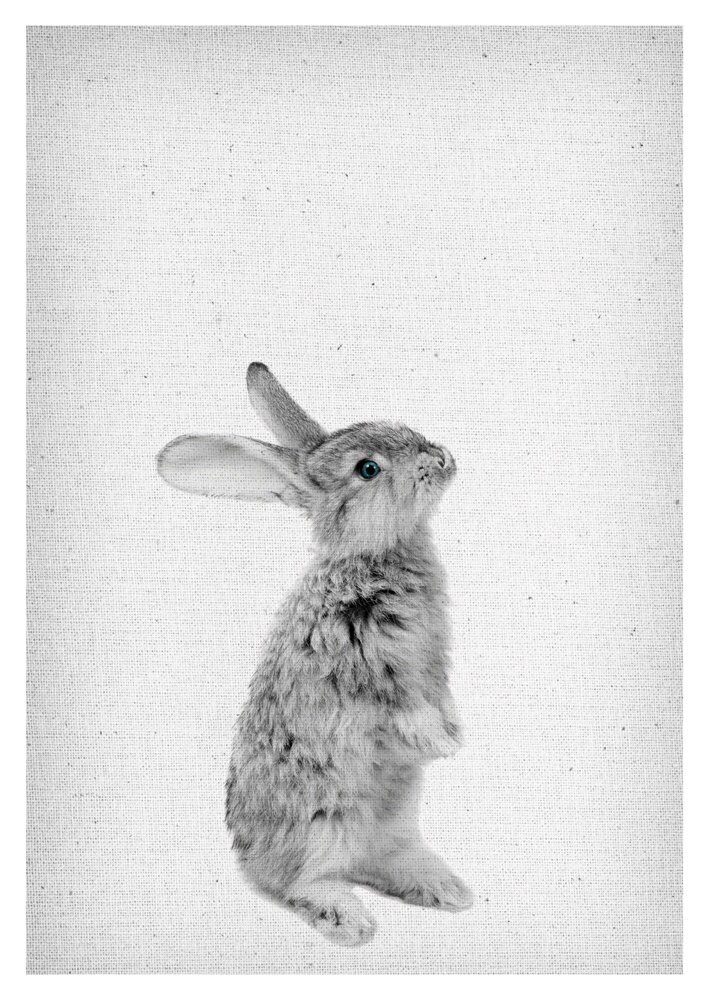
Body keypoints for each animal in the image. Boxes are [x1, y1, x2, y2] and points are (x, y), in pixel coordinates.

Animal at [157, 362, 472, 947]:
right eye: (368, 469)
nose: (440, 459)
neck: (373, 552)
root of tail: (250, 857)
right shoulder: (368, 662)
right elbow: (402, 704)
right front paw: (438, 742)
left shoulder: (433, 662)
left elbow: (438, 695)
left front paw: (453, 736)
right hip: (319, 823)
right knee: (298, 882)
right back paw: (349, 918)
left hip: (393, 820)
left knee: (380, 861)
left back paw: (444, 888)